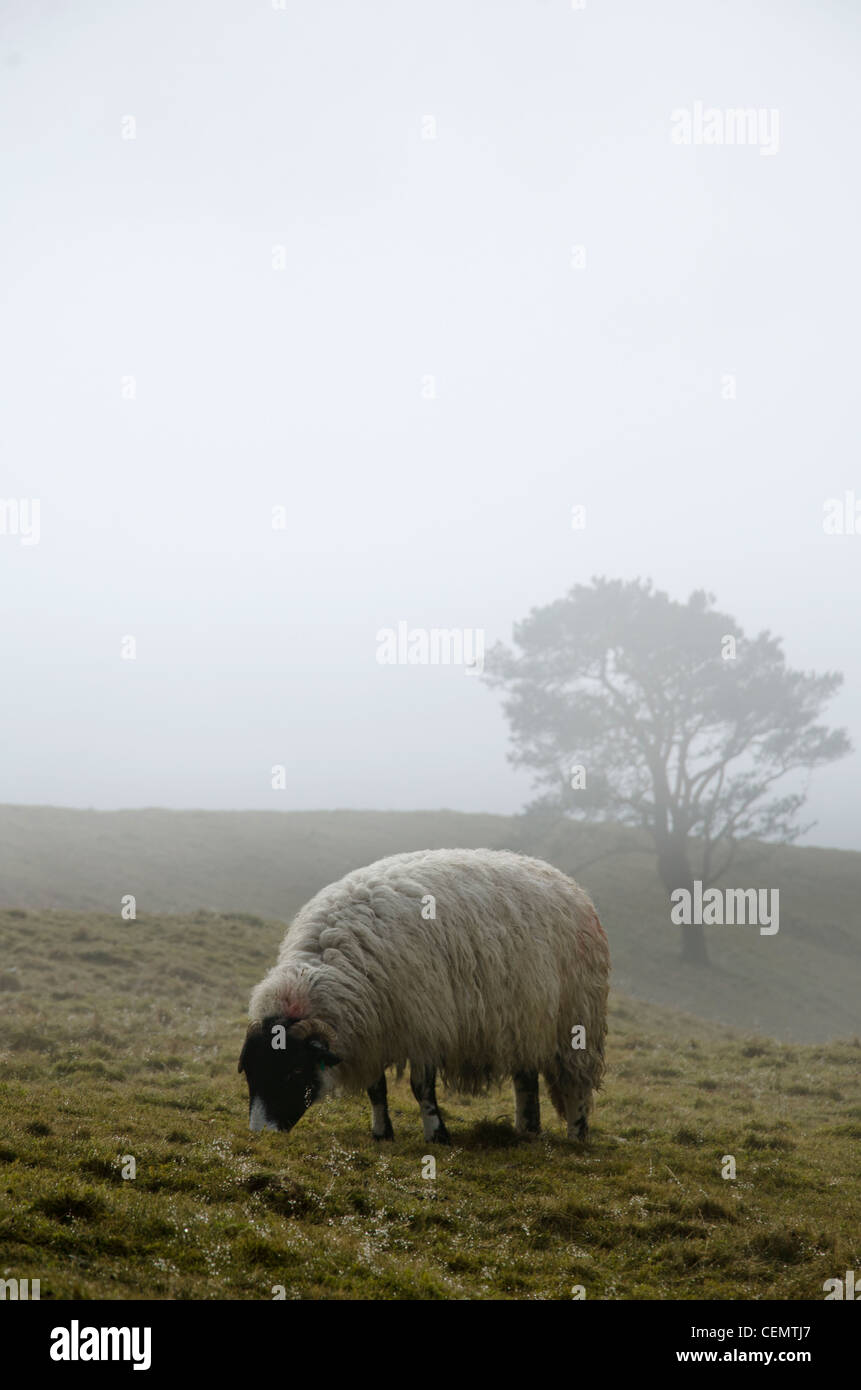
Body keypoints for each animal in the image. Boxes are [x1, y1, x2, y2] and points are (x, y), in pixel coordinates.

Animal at [238, 847, 610, 1143]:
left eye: (293, 1072)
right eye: (250, 1071)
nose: (261, 1134)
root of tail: (562, 879)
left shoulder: (425, 1025)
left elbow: (421, 1088)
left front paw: (437, 1134)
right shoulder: (377, 1031)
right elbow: (376, 1088)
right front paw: (381, 1133)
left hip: (576, 1018)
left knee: (575, 1082)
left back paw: (576, 1136)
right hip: (524, 1019)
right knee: (526, 1079)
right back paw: (526, 1130)